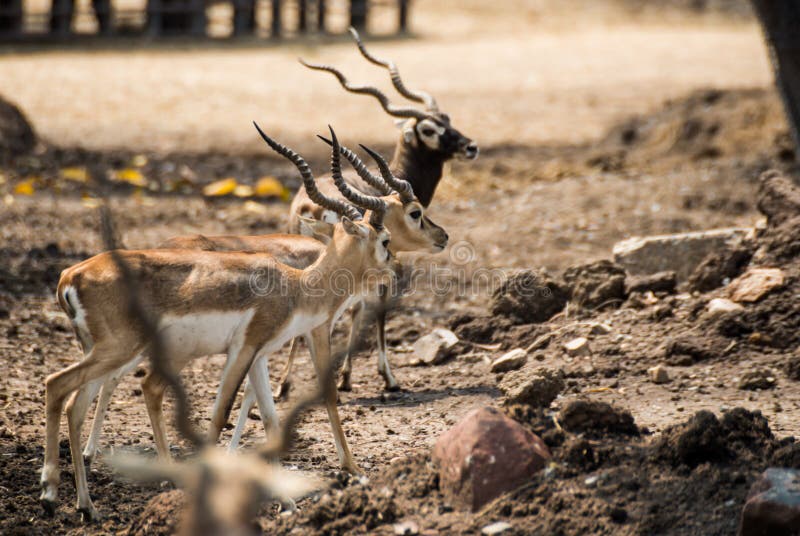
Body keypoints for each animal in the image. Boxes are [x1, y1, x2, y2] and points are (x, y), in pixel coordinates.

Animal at [41, 126, 392, 520]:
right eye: (385, 240)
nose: (391, 273)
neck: (296, 287)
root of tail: (71, 275)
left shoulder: (258, 356)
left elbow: (269, 420)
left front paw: (287, 503)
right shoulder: (243, 349)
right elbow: (219, 413)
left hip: (105, 352)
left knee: (76, 404)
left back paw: (86, 506)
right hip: (121, 349)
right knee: (58, 385)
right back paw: (50, 494)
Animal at [79, 132, 448, 464]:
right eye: (415, 213)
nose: (443, 236)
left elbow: (253, 396)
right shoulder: (309, 330)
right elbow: (302, 392)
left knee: (104, 377)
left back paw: (90, 452)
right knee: (112, 379)